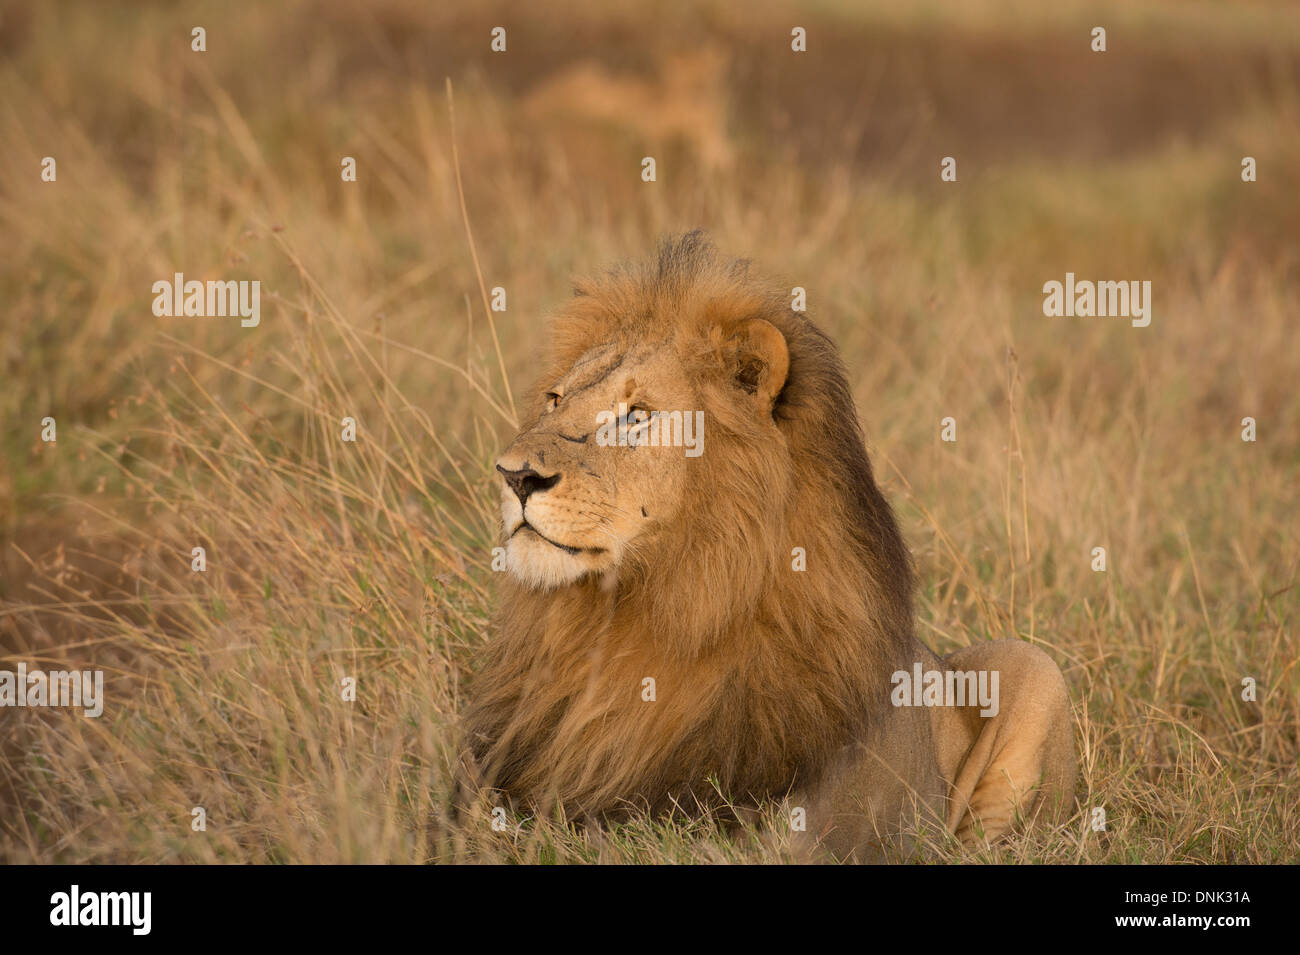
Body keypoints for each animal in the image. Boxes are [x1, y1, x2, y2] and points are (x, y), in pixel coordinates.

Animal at [462, 231, 1076, 860]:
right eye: (554, 399)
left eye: (637, 417)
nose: (513, 475)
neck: (650, 604)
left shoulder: (773, 830)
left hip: (1036, 668)